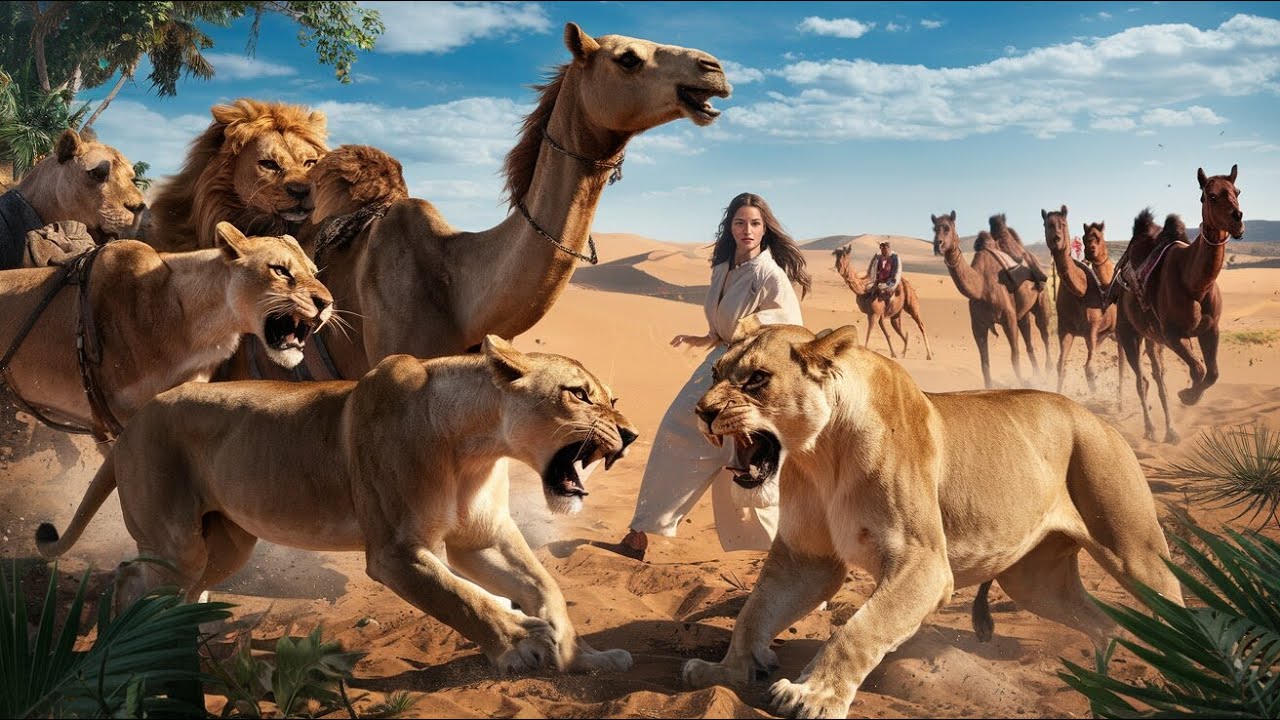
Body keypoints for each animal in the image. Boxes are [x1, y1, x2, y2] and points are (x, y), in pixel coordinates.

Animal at [36, 336, 639, 675]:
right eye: (578, 394)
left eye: (612, 397)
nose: (631, 435)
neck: (477, 446)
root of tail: (132, 423)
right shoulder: (397, 552)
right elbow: (462, 600)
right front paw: (522, 642)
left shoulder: (480, 539)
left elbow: (545, 586)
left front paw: (582, 656)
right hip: (174, 542)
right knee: (129, 575)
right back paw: (124, 648)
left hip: (225, 545)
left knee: (179, 587)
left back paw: (182, 642)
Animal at [681, 322, 1183, 719]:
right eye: (715, 373)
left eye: (757, 380)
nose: (702, 412)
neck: (817, 455)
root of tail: (1099, 420)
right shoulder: (808, 560)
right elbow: (753, 614)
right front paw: (725, 670)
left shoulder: (923, 563)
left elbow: (859, 629)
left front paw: (814, 695)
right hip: (1035, 583)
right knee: (1107, 624)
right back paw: (1103, 685)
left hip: (1135, 552)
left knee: (1173, 608)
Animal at [931, 211, 1052, 388]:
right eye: (934, 228)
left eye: (947, 228)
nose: (937, 244)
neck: (981, 286)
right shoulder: (978, 325)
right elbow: (985, 363)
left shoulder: (1008, 318)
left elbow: (1014, 356)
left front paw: (1022, 385)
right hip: (1022, 312)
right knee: (1029, 340)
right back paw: (1037, 376)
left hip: (1041, 299)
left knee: (1044, 333)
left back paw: (1050, 372)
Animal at [1040, 206, 1121, 397]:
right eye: (1047, 224)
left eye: (1063, 223)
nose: (1056, 239)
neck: (1081, 291)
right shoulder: (1065, 329)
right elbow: (1061, 366)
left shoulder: (1092, 329)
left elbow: (1089, 368)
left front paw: (1095, 393)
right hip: (1107, 334)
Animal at [1114, 165, 1243, 443]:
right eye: (1211, 195)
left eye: (1237, 191)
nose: (1237, 219)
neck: (1193, 283)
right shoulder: (1172, 334)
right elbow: (1198, 370)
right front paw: (1188, 395)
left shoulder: (1210, 330)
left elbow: (1212, 373)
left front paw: (1191, 396)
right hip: (1128, 333)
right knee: (1141, 381)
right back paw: (1151, 429)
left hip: (1152, 339)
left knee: (1157, 378)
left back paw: (1171, 431)